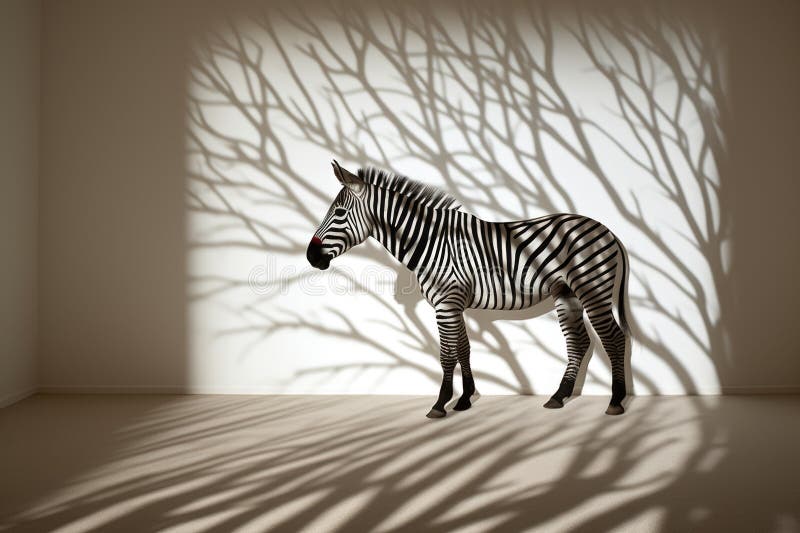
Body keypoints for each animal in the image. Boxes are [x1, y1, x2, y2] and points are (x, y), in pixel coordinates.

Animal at [307, 161, 630, 417]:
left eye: (339, 213)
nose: (311, 257)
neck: (429, 241)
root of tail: (608, 230)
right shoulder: (454, 303)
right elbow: (464, 348)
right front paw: (464, 400)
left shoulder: (446, 303)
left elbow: (446, 354)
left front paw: (440, 404)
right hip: (566, 292)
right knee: (579, 342)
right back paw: (559, 396)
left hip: (592, 287)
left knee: (613, 337)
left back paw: (616, 401)